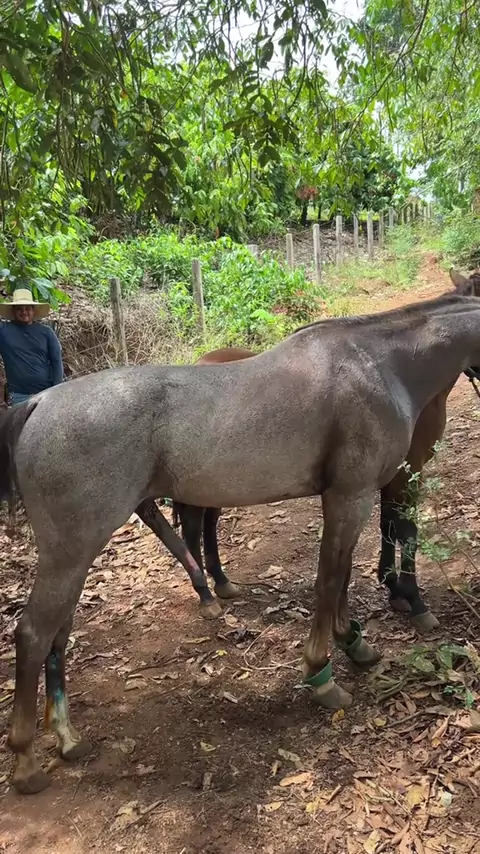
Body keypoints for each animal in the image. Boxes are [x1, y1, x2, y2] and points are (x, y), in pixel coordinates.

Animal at [3, 283, 480, 795]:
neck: (380, 364)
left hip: (76, 555)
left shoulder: (354, 495)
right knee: (33, 634)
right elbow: (331, 579)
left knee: (59, 634)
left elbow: (344, 575)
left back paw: (67, 737)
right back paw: (26, 760)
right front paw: (322, 673)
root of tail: (38, 404)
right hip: (71, 553)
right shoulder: (351, 496)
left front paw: (354, 642)